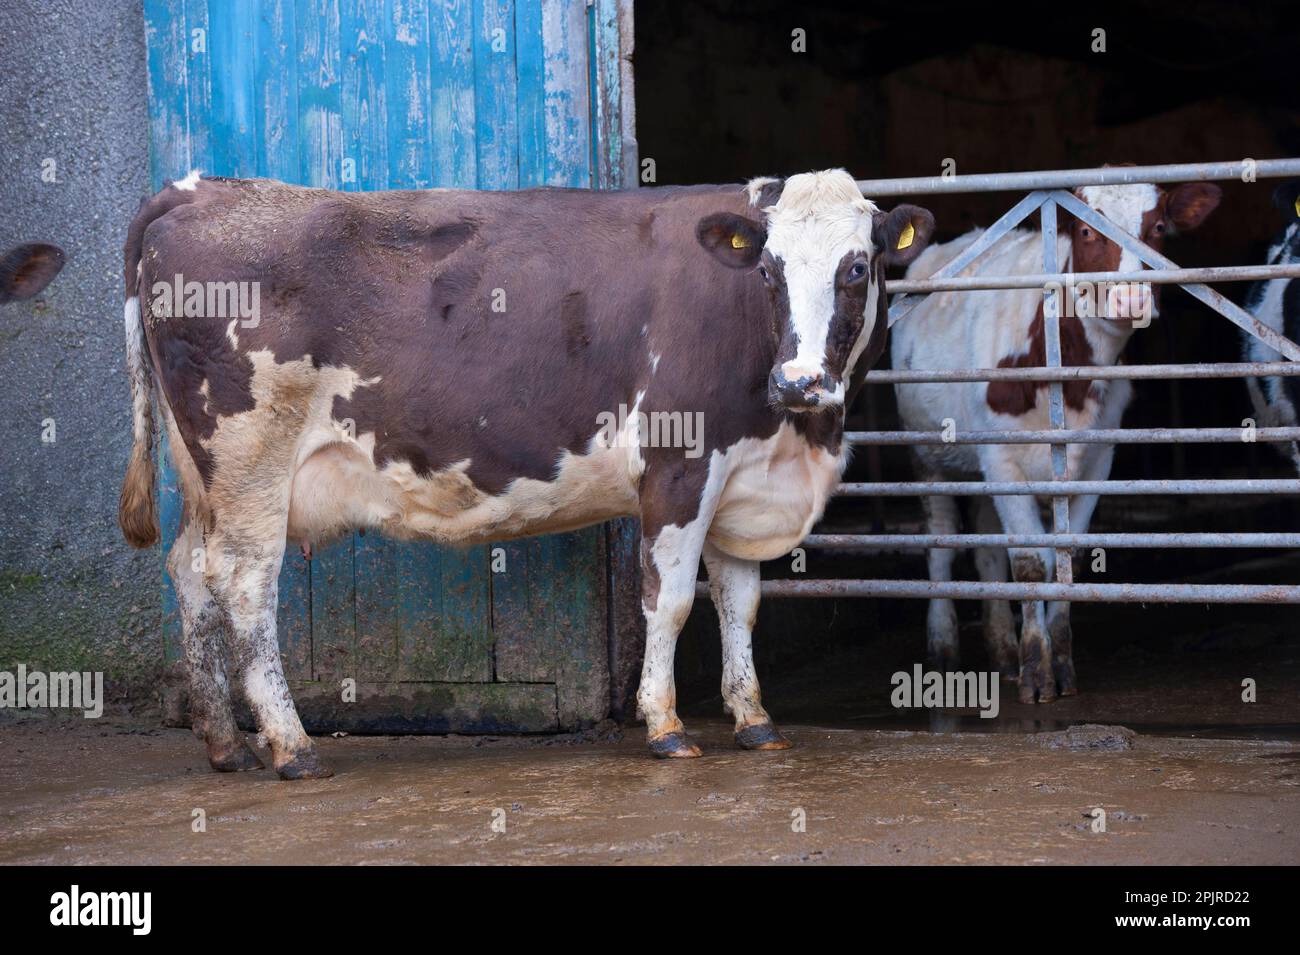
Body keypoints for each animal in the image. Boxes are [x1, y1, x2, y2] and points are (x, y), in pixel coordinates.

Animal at [119, 168, 934, 778]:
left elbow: (740, 602)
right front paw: (666, 725)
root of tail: (199, 190)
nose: (799, 382)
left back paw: (224, 742)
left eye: (856, 267)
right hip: (250, 460)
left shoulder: (743, 479)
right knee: (245, 585)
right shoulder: (679, 467)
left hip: (205, 475)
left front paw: (754, 718)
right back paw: (291, 747)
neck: (798, 435)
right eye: (768, 270)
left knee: (190, 569)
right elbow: (670, 602)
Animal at [890, 178, 1220, 703]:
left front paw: (1059, 663)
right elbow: (1029, 564)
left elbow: (1067, 560)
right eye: (1086, 230)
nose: (1131, 300)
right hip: (926, 451)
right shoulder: (1001, 459)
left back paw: (1003, 651)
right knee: (940, 541)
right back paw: (943, 649)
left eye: (1158, 228)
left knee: (986, 546)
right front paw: (1037, 673)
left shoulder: (1097, 460)